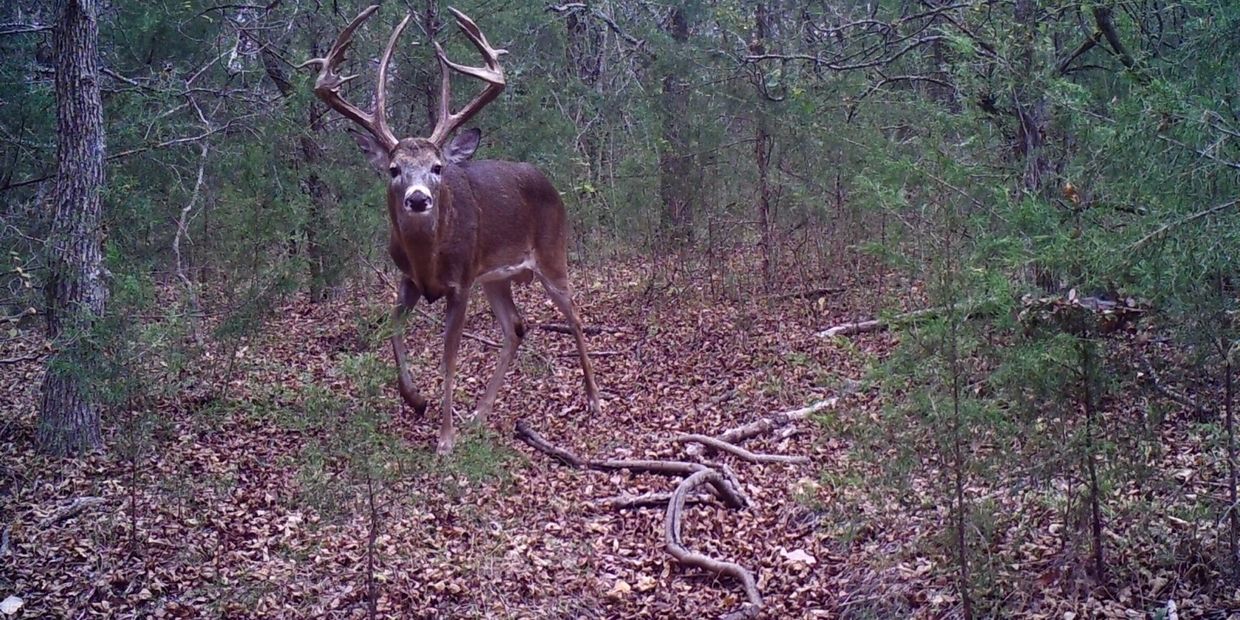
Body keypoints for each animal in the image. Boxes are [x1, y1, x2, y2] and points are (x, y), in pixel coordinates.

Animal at [300, 6, 600, 454]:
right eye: (394, 169)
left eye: (438, 167)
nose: (418, 199)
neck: (430, 258)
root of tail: (547, 181)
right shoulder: (407, 279)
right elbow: (393, 328)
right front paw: (416, 399)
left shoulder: (461, 283)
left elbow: (449, 355)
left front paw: (444, 439)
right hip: (495, 276)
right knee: (515, 327)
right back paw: (479, 414)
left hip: (552, 252)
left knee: (575, 316)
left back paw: (593, 398)